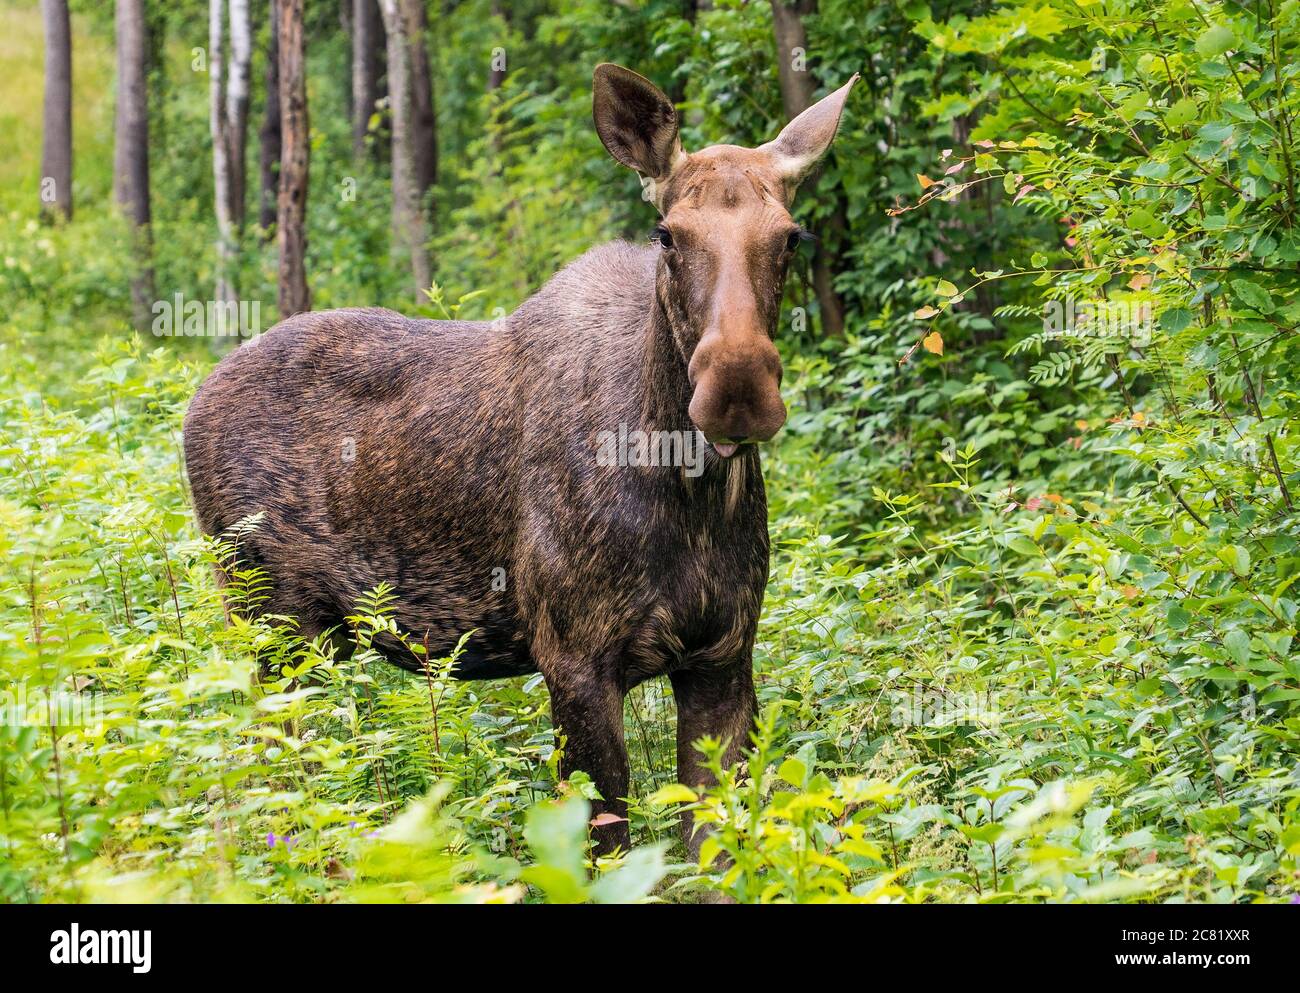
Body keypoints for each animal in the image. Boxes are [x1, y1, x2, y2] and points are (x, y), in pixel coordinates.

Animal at [183, 64, 857, 857]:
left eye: (790, 237)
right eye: (667, 234)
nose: (737, 387)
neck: (687, 491)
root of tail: (193, 404)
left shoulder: (723, 656)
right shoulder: (572, 658)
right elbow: (606, 844)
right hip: (268, 618)